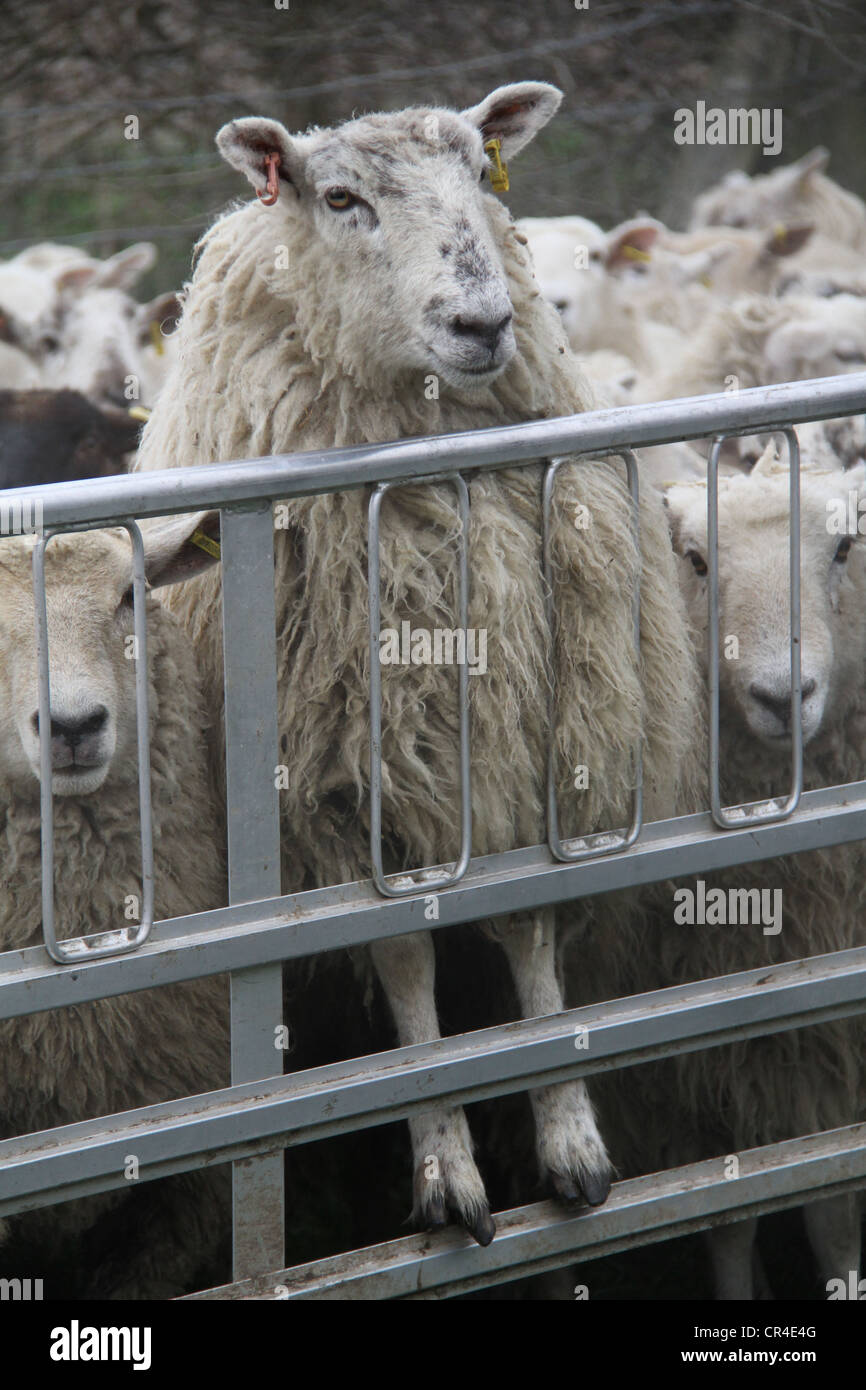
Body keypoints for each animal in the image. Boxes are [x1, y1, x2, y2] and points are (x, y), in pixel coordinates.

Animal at [135, 82, 703, 1244]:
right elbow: (403, 958)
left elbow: (531, 927)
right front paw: (446, 1167)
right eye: (340, 198)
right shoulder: (350, 783)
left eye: (484, 178)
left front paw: (569, 1138)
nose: (482, 323)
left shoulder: (539, 741)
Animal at [595, 441, 866, 1299]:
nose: (785, 695)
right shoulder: (695, 1075)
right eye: (696, 560)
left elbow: (833, 1214)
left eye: (843, 549)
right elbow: (727, 1217)